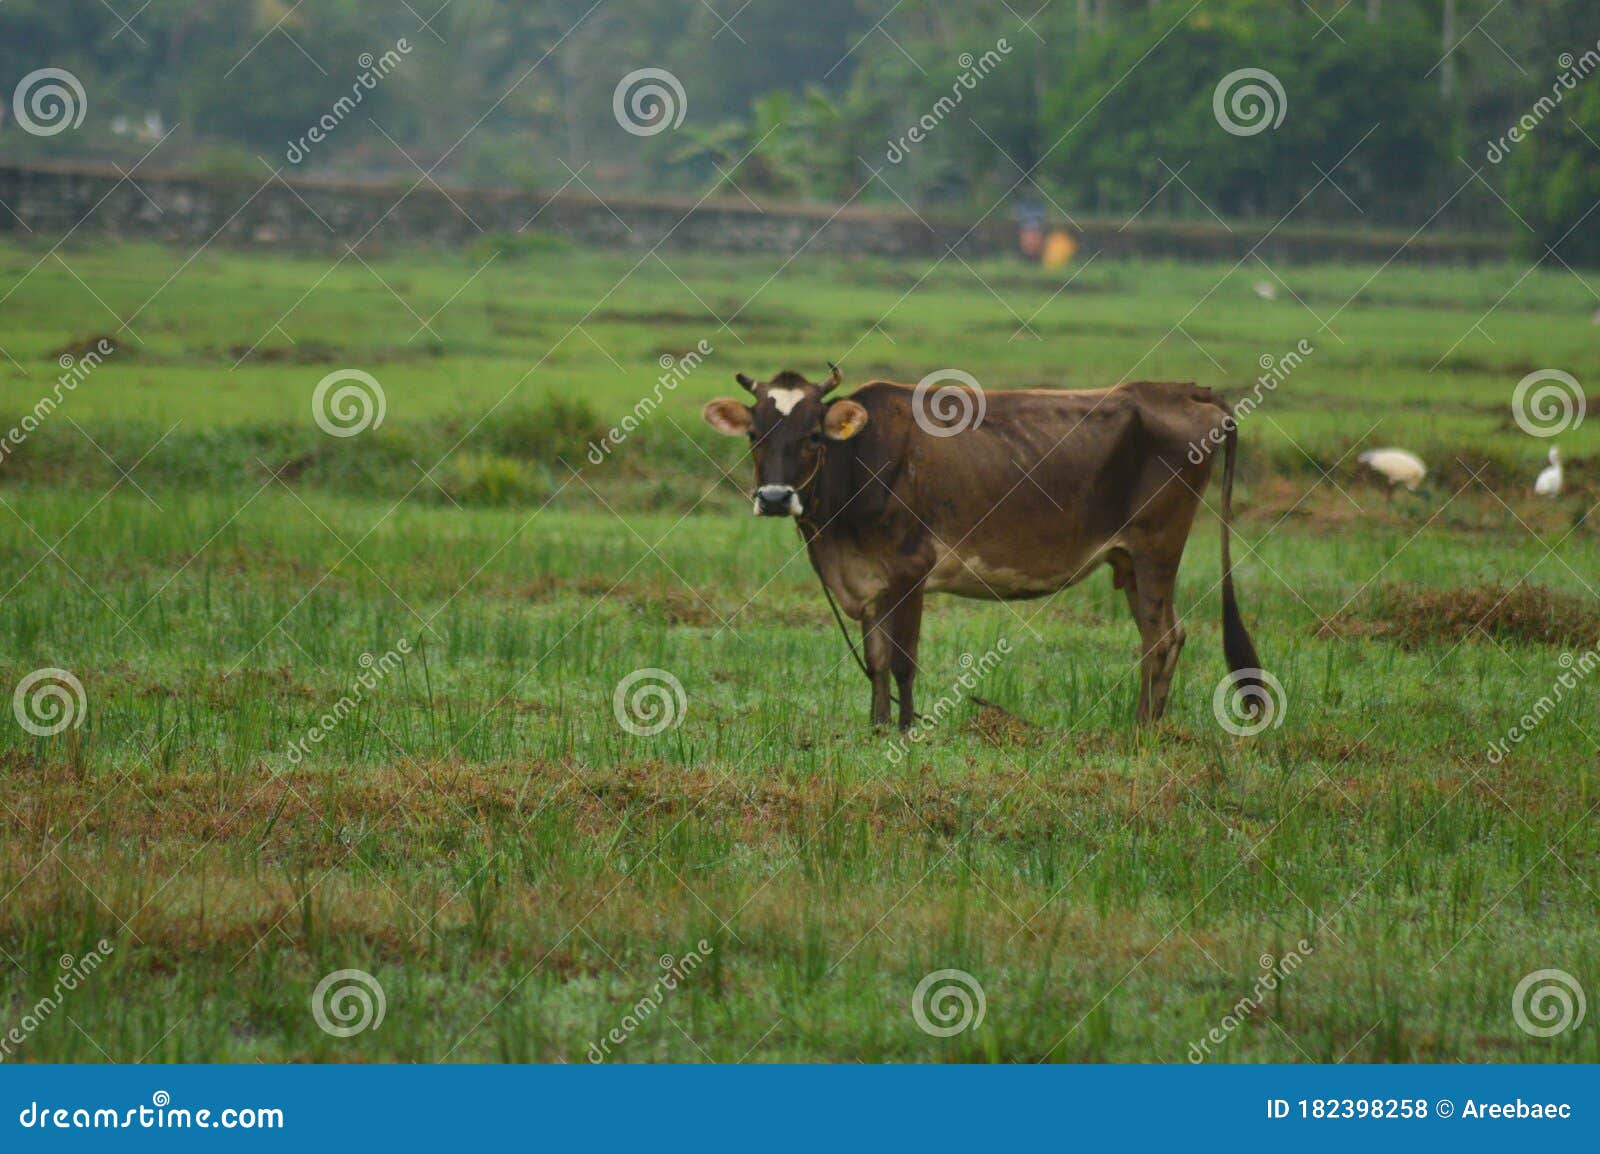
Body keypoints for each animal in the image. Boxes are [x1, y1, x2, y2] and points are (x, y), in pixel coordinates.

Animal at [703, 367, 1263, 730]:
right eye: (755, 435)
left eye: (815, 435)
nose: (775, 498)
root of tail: (1184, 391)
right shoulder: (869, 579)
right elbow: (877, 658)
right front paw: (877, 726)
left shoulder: (911, 569)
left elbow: (903, 659)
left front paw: (906, 730)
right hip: (1129, 558)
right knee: (1168, 633)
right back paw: (1154, 724)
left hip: (1156, 548)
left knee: (1160, 639)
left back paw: (1140, 730)